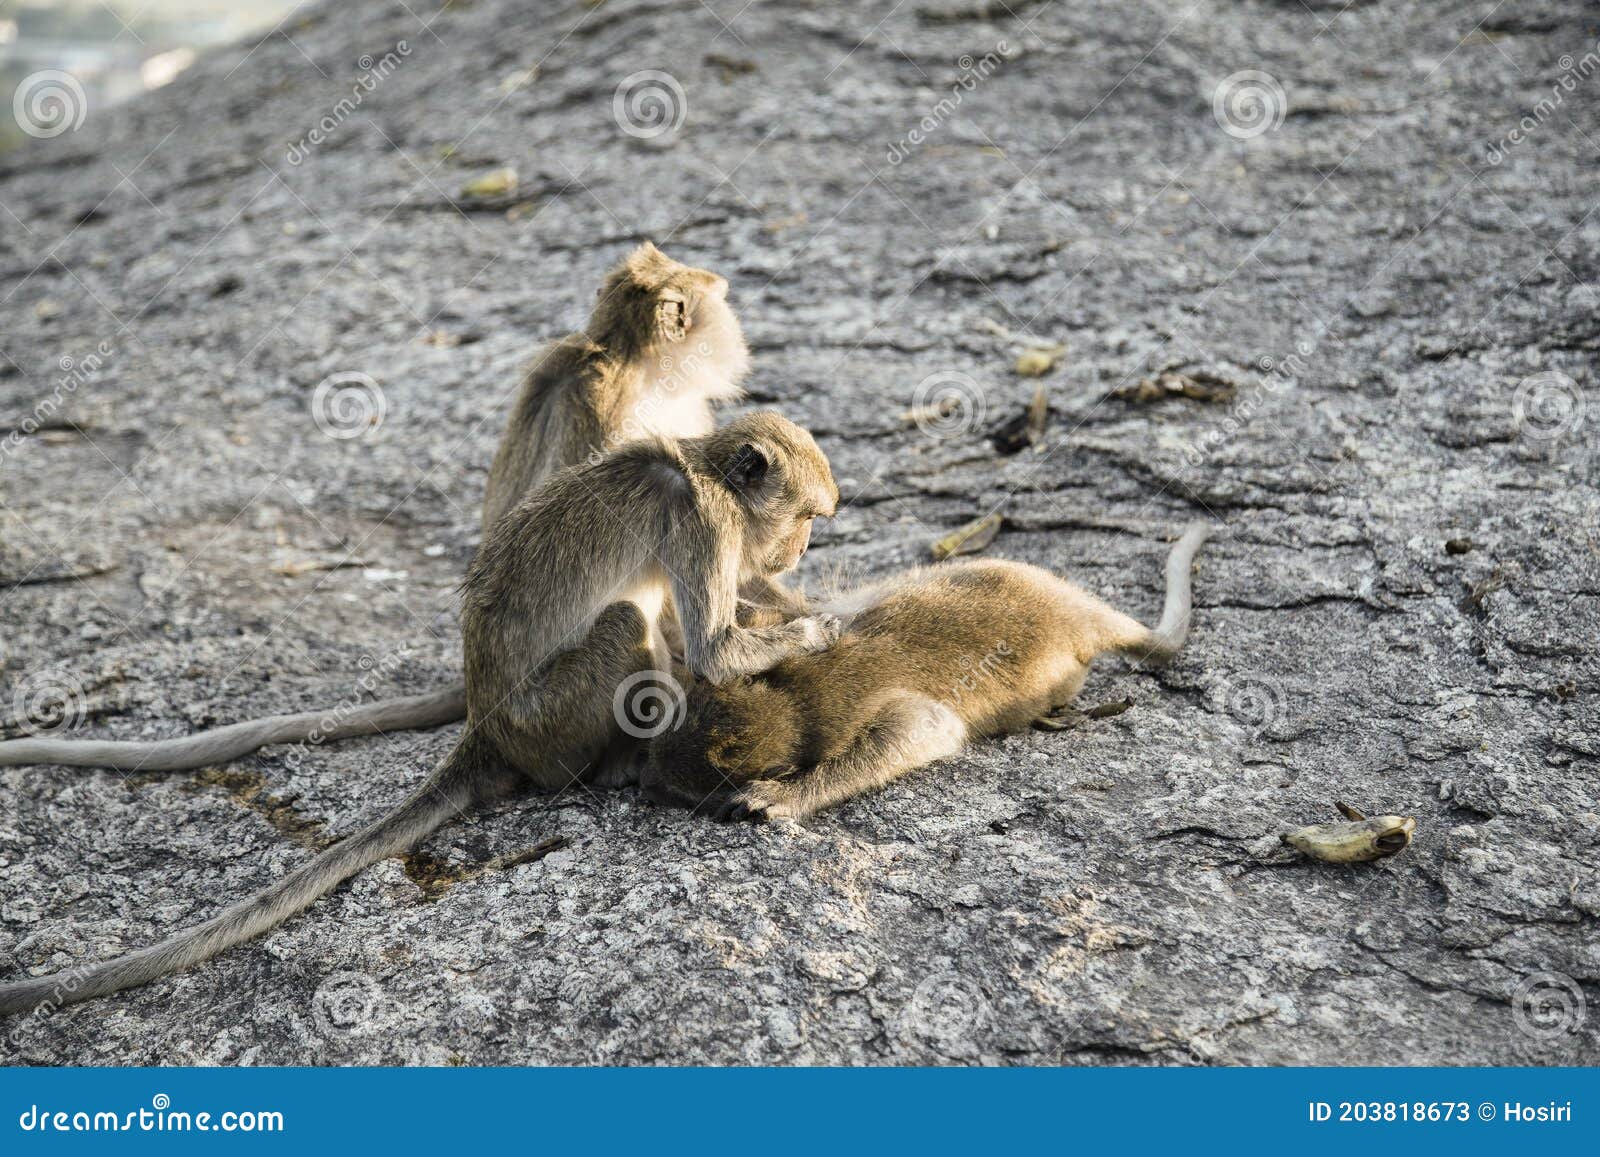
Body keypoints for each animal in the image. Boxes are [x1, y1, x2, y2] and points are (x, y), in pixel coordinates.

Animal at [0, 412, 840, 1015]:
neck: (706, 467)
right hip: (551, 720)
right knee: (626, 622)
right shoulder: (707, 525)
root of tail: (486, 727)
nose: (799, 550)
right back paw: (619, 763)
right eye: (805, 516)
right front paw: (812, 631)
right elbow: (714, 650)